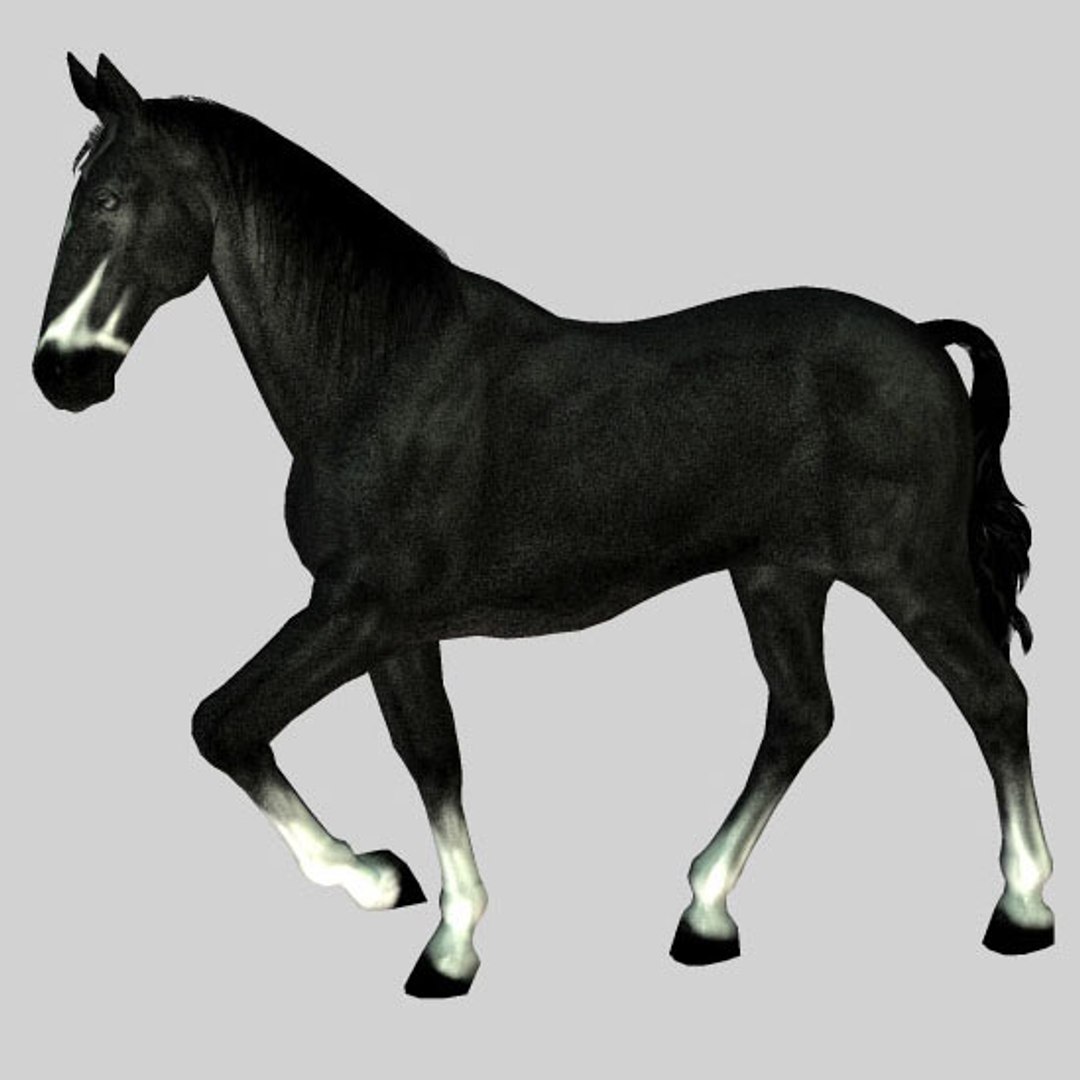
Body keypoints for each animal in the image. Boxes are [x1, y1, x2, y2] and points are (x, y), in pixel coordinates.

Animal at [34, 53, 1054, 998]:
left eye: (110, 197)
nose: (61, 373)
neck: (381, 374)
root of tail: (923, 340)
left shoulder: (356, 611)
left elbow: (226, 724)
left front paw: (381, 885)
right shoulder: (392, 629)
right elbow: (431, 757)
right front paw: (443, 932)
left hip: (909, 574)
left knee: (993, 698)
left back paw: (1022, 911)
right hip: (779, 577)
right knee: (803, 715)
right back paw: (704, 914)